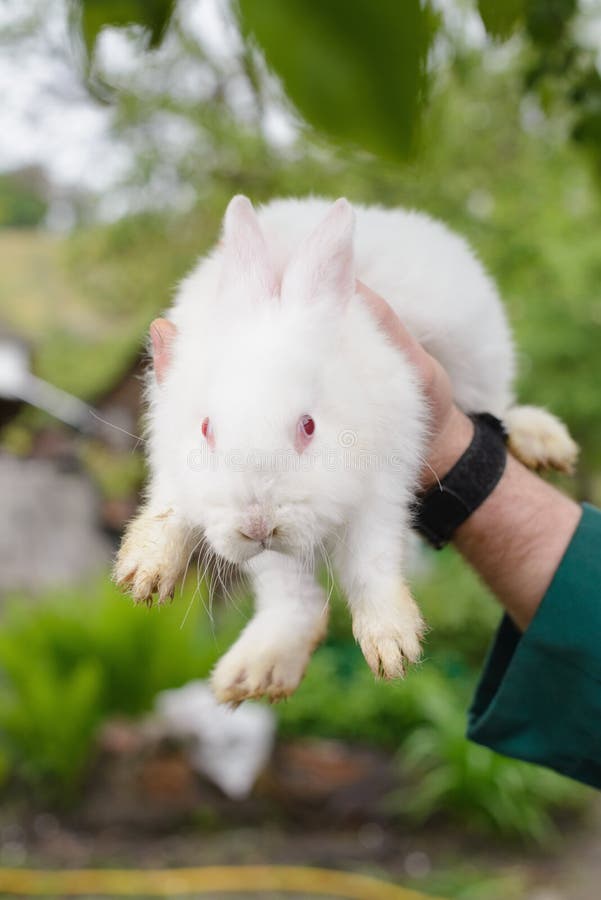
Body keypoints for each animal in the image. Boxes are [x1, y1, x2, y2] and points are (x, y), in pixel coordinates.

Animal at [114, 195, 578, 705]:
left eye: (309, 426)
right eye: (205, 428)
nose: (257, 524)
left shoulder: (386, 477)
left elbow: (371, 558)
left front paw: (391, 639)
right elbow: (172, 505)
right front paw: (145, 567)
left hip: (478, 358)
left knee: (498, 406)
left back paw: (542, 438)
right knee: (291, 595)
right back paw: (260, 665)